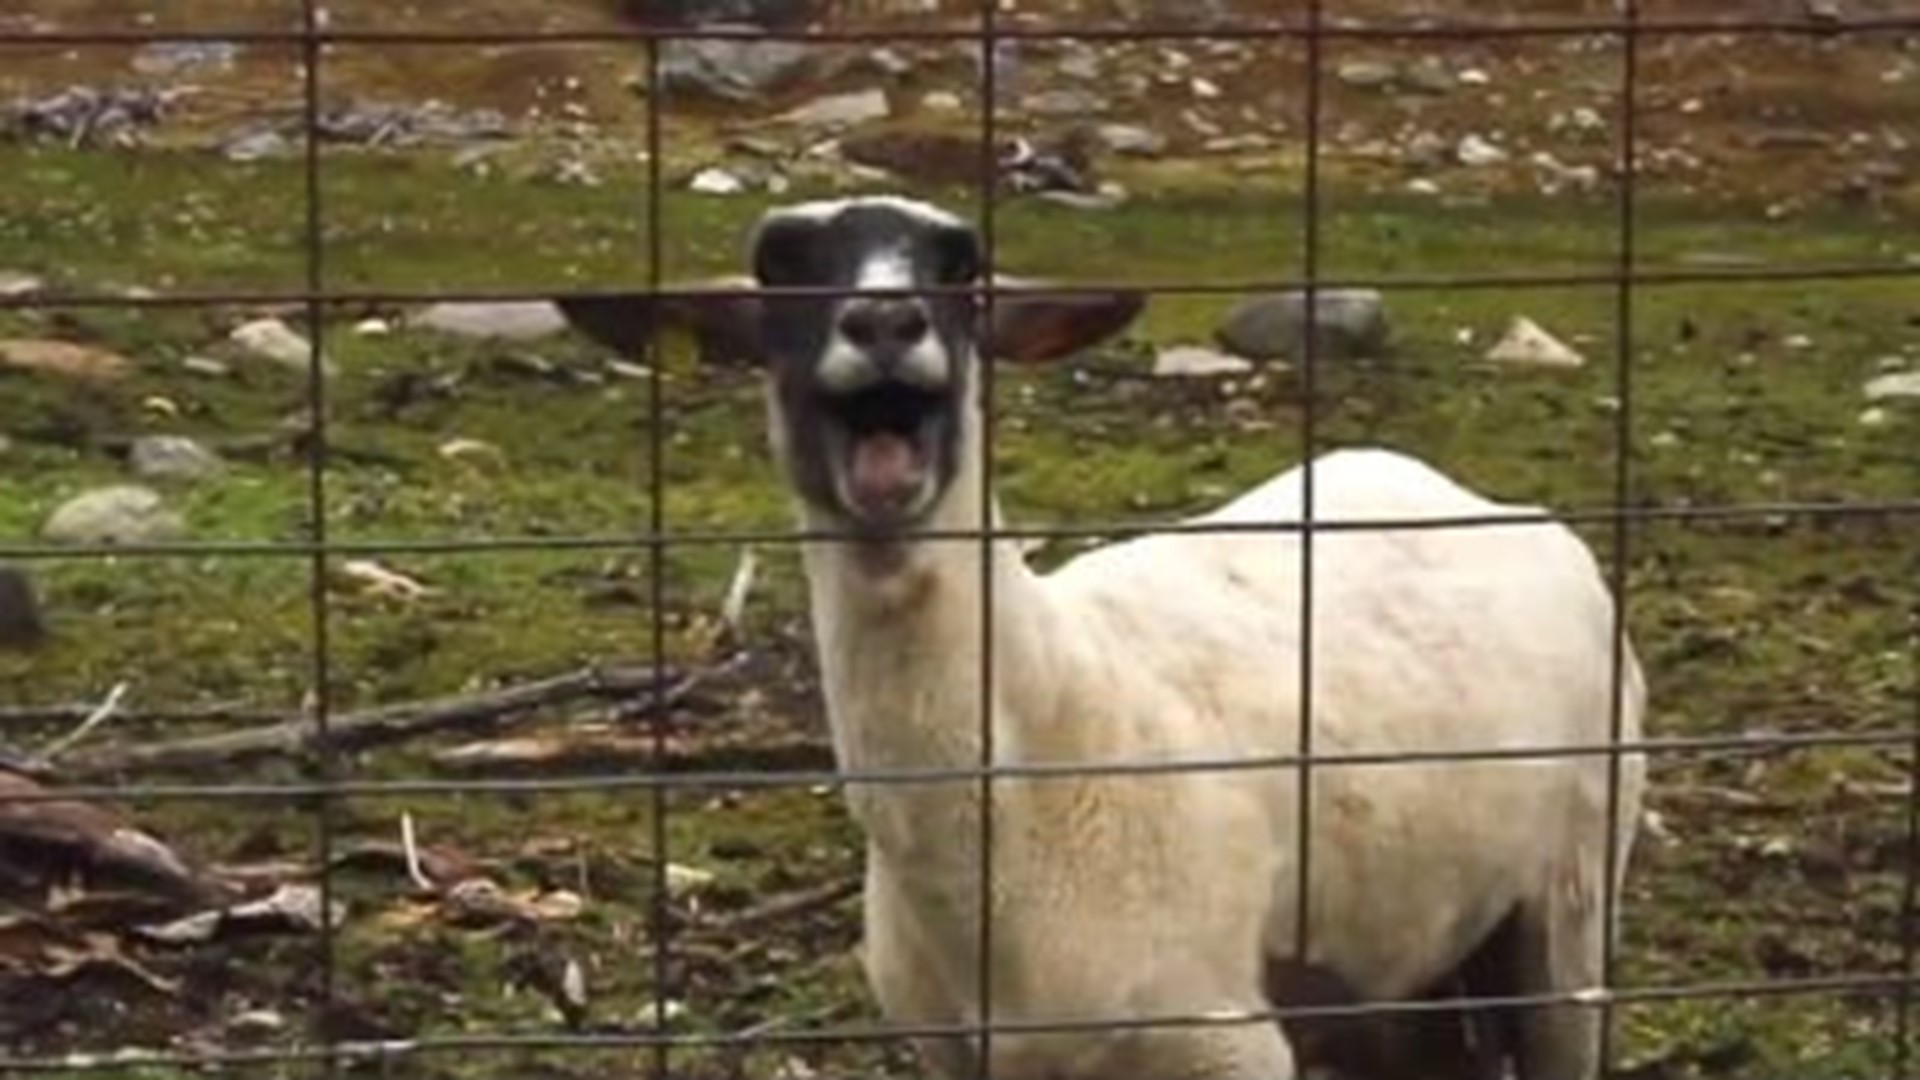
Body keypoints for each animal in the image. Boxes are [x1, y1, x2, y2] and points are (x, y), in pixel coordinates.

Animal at [558, 194, 1647, 1080]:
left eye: (960, 263)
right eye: (782, 262)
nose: (883, 322)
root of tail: (1469, 493)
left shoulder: (1223, 1042)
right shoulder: (954, 1055)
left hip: (1572, 896)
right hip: (1409, 958)